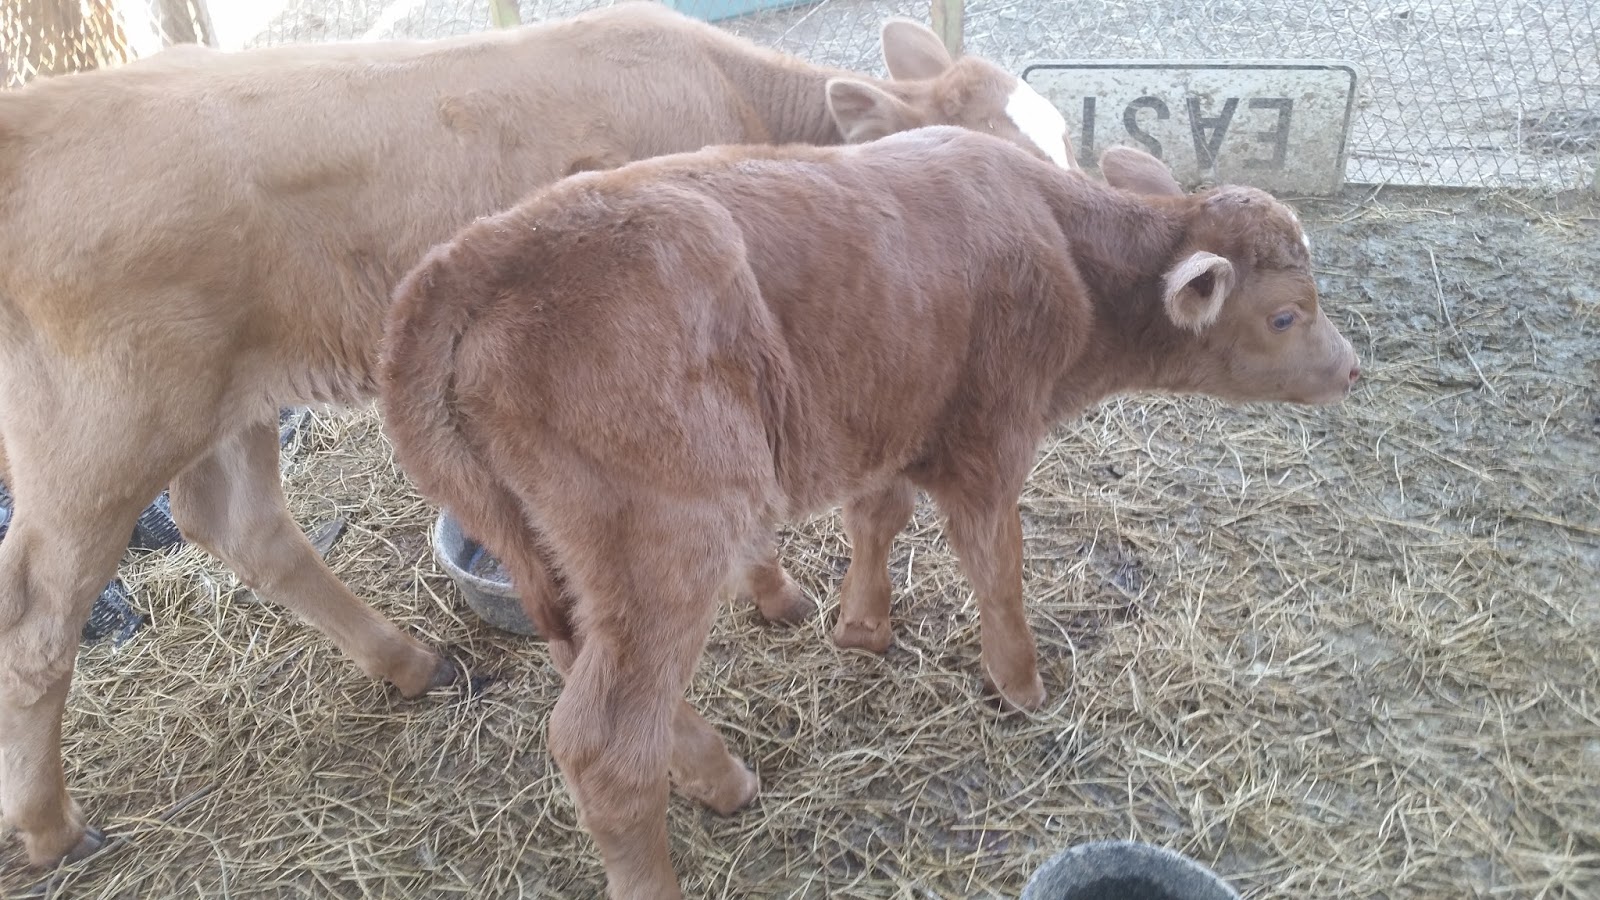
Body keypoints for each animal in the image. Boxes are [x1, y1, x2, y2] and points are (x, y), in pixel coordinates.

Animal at [0, 1, 1078, 870]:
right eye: (990, 164)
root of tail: (34, 116)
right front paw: (773, 592)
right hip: (105, 430)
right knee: (40, 618)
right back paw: (51, 827)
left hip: (232, 399)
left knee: (241, 525)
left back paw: (413, 664)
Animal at [376, 129, 1359, 899]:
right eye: (1285, 315)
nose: (1351, 368)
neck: (1061, 244)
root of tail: (474, 256)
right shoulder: (990, 441)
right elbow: (997, 568)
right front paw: (1021, 685)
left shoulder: (891, 424)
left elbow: (875, 519)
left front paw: (862, 629)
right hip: (666, 539)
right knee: (604, 743)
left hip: (564, 551)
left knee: (586, 665)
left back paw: (721, 778)